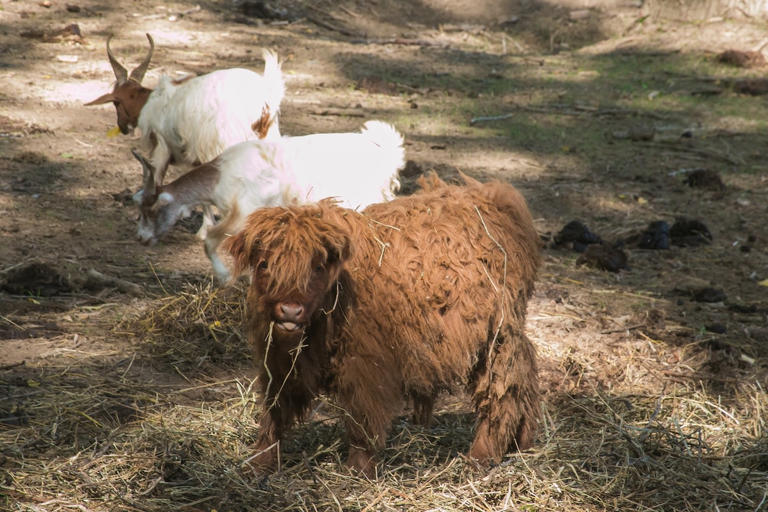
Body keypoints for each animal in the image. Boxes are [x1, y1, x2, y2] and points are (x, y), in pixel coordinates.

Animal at [131, 121, 405, 283]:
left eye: (152, 209)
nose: (141, 239)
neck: (221, 174)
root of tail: (386, 152)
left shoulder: (243, 212)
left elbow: (210, 242)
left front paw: (225, 278)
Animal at [224, 174, 541, 476]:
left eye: (318, 267)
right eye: (264, 264)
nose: (290, 310)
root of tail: (491, 196)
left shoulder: (365, 367)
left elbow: (363, 422)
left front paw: (358, 471)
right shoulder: (278, 363)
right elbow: (274, 413)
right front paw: (258, 464)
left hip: (497, 336)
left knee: (504, 391)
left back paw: (481, 456)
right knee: (525, 378)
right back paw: (521, 444)